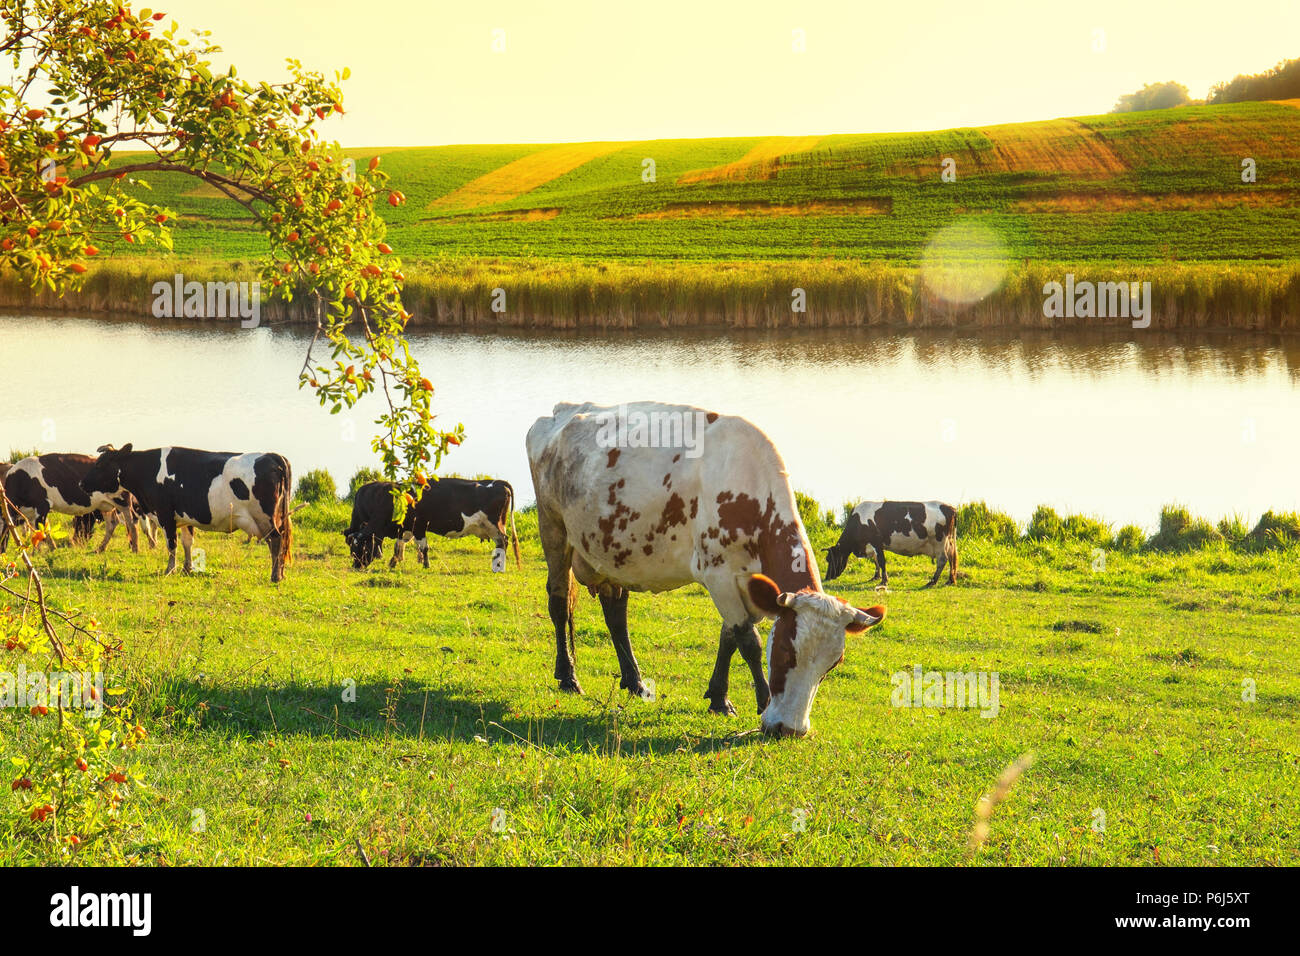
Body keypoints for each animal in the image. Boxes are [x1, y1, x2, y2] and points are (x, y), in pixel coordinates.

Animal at [1, 453, 152, 554]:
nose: (2, 551)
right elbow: (45, 530)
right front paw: (52, 548)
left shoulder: (42, 505)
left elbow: (40, 531)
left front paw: (37, 553)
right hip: (105, 504)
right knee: (112, 523)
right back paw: (100, 548)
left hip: (123, 501)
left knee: (132, 522)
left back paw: (135, 548)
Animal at [79, 444, 293, 582]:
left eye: (100, 464)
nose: (81, 483)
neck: (148, 469)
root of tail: (272, 455)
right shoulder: (184, 517)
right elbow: (187, 542)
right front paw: (187, 568)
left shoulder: (165, 513)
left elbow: (171, 544)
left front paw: (169, 569)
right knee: (281, 540)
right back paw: (281, 573)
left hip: (264, 517)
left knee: (276, 539)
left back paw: (275, 576)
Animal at [343, 477, 520, 571]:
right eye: (352, 547)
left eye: (362, 547)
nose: (356, 566)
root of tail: (497, 482)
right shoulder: (405, 528)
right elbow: (399, 545)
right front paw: (394, 562)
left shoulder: (419, 526)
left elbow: (423, 547)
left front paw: (425, 565)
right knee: (501, 544)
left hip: (495, 525)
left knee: (504, 541)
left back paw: (498, 566)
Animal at [527, 401, 886, 738]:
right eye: (785, 650)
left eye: (833, 664)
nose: (790, 729)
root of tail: (564, 410)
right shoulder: (719, 575)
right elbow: (749, 641)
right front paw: (763, 701)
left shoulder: (749, 583)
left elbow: (729, 638)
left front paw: (719, 698)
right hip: (553, 528)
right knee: (559, 603)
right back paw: (568, 677)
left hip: (613, 549)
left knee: (615, 611)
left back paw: (635, 681)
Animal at [824, 500, 957, 588]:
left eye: (830, 559)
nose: (827, 577)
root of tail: (951, 508)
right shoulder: (873, 546)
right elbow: (876, 561)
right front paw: (876, 577)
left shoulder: (876, 543)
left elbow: (881, 561)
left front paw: (884, 581)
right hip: (949, 542)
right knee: (952, 557)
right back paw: (950, 580)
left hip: (939, 542)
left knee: (942, 560)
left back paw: (932, 581)